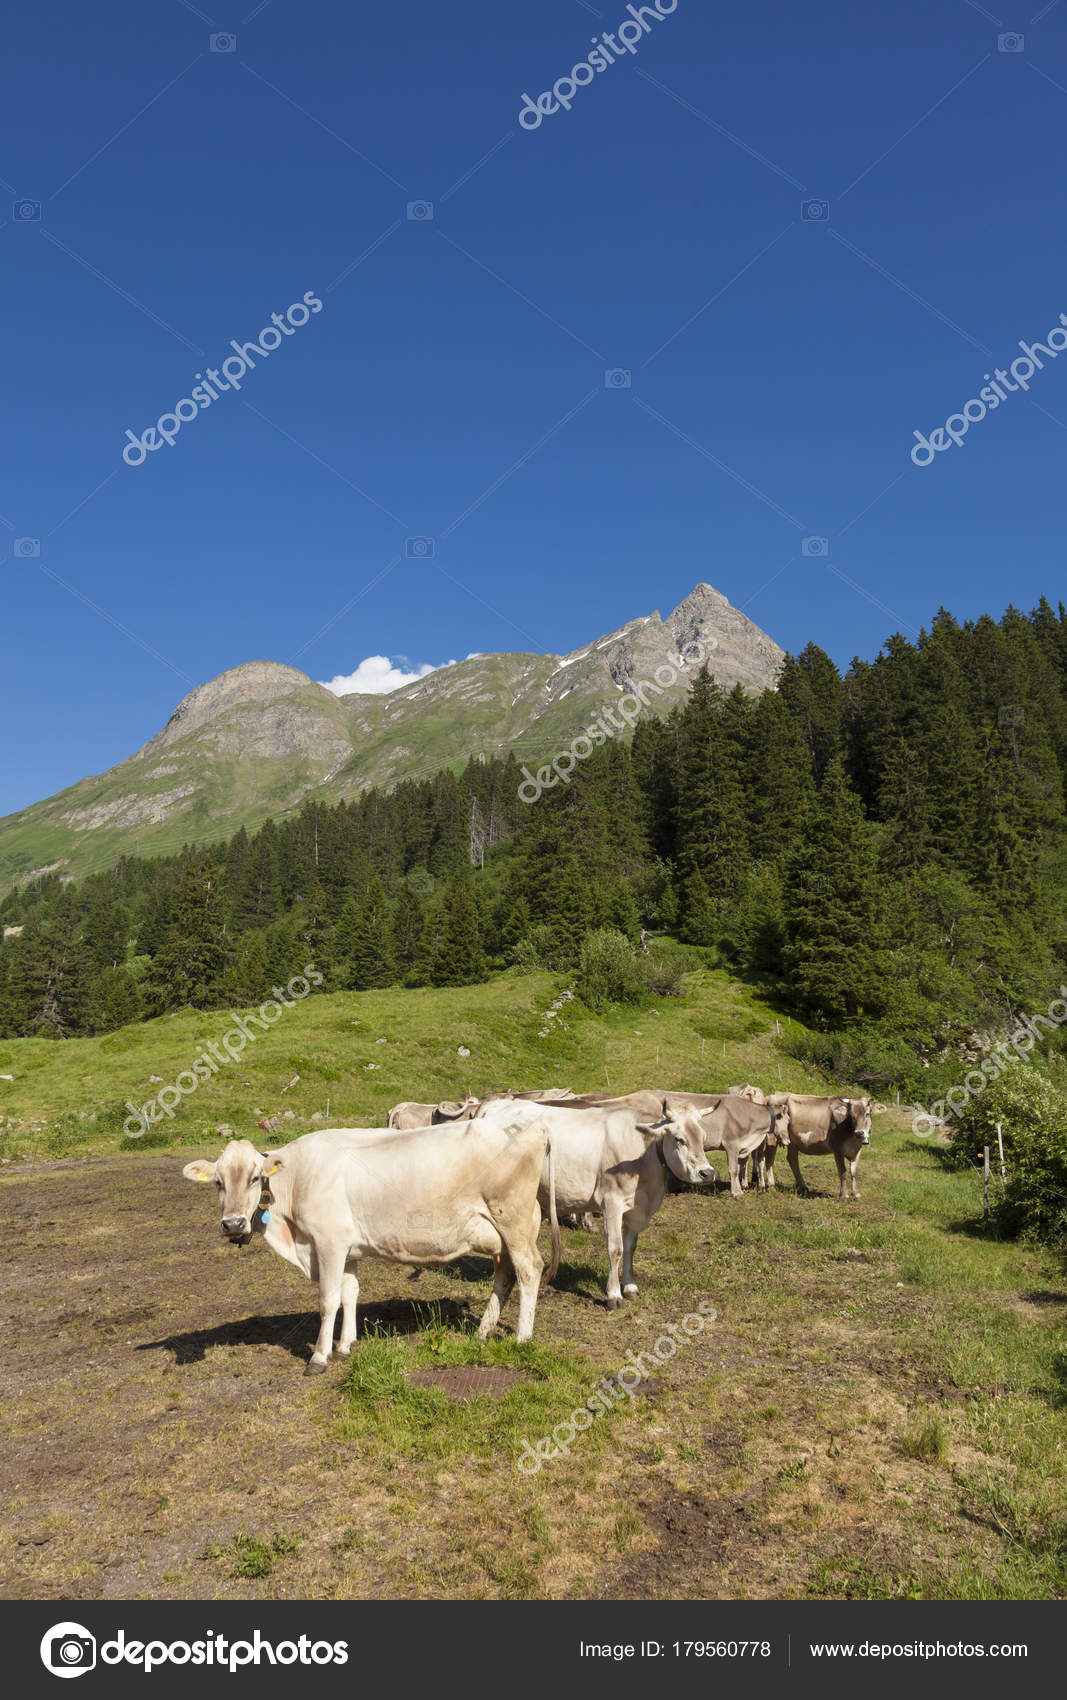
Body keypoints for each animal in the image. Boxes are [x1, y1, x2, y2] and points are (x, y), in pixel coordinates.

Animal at [183, 1122, 560, 1373]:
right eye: (218, 1182)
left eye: (255, 1178)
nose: (233, 1224)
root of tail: (535, 1127)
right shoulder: (348, 1248)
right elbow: (350, 1293)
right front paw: (346, 1344)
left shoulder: (329, 1242)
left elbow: (328, 1300)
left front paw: (319, 1356)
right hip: (502, 1232)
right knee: (505, 1275)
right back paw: (483, 1332)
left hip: (514, 1220)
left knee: (529, 1270)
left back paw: (521, 1338)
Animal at [472, 1099, 714, 1308]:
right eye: (679, 1139)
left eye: (703, 1138)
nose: (707, 1173)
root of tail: (495, 1104)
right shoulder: (612, 1201)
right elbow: (616, 1248)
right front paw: (614, 1295)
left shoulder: (635, 1208)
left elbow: (630, 1247)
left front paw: (630, 1286)